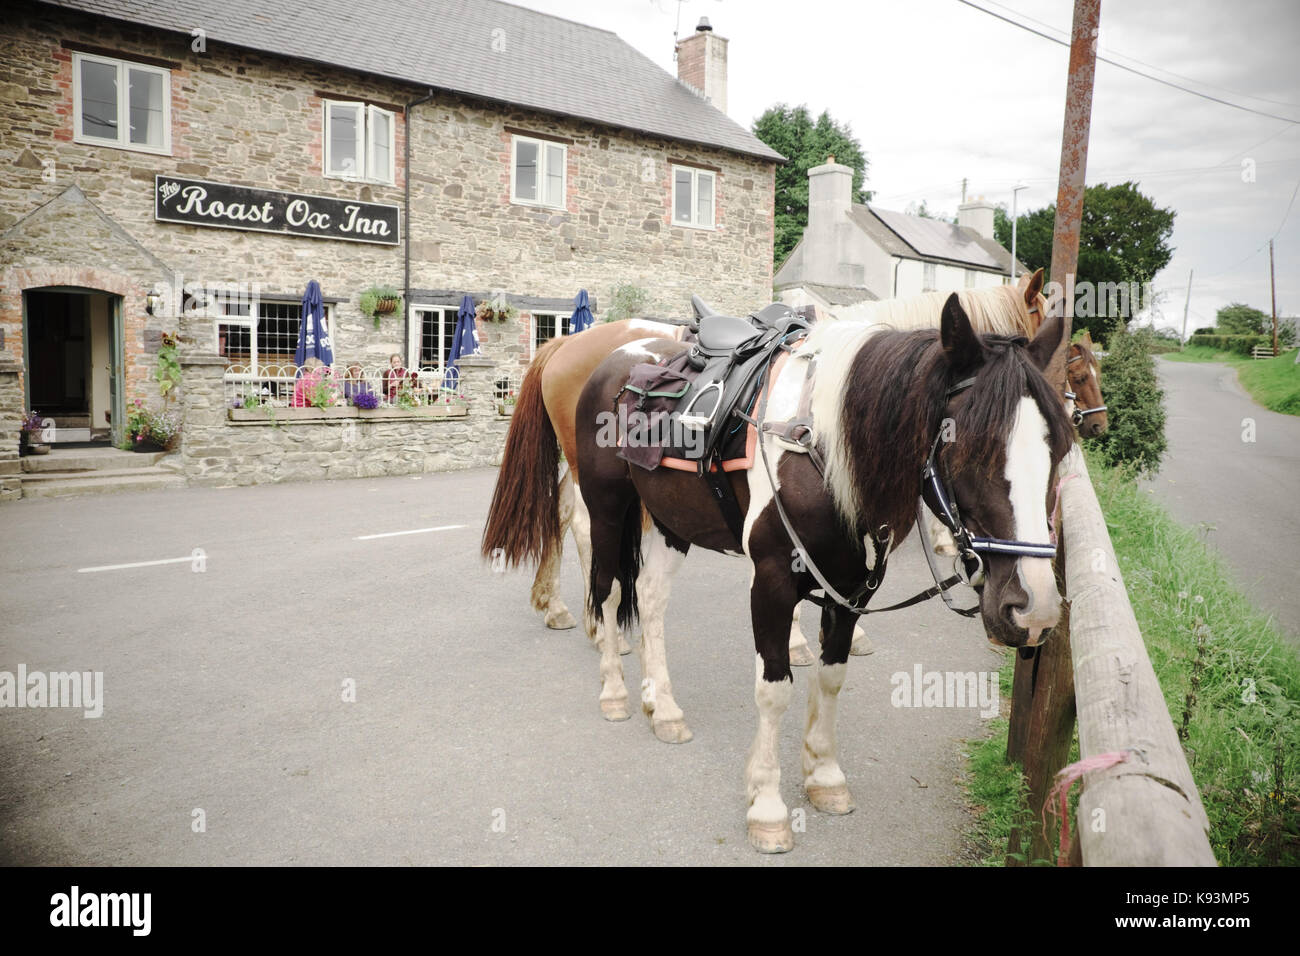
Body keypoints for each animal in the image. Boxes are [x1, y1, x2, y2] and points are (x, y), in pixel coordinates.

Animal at [567, 293, 1074, 852]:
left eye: (1059, 449)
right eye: (970, 448)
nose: (1034, 610)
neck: (822, 448)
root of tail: (620, 356)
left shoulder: (852, 587)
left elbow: (831, 678)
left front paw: (824, 776)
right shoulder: (771, 579)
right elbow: (774, 688)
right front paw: (767, 807)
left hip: (671, 521)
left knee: (652, 599)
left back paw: (663, 707)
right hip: (607, 508)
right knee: (607, 593)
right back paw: (615, 693)